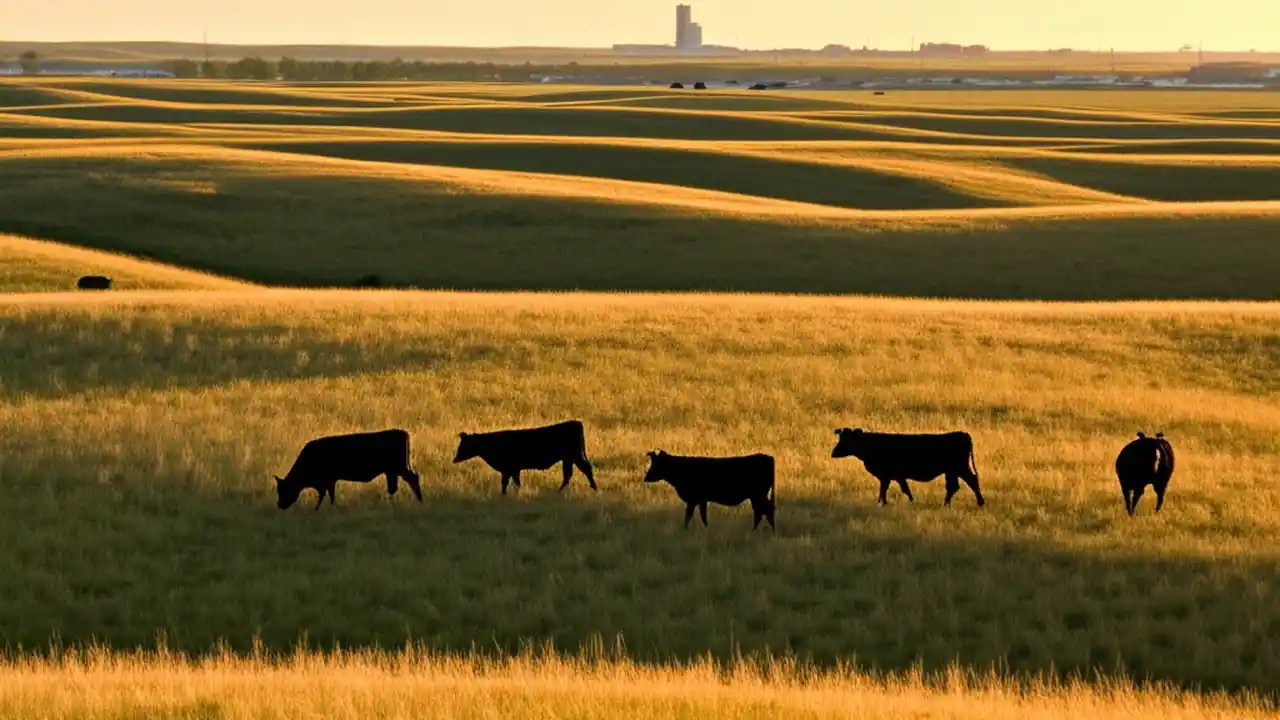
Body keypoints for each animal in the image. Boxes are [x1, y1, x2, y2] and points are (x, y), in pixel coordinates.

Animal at [274, 429, 421, 510]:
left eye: (284, 490)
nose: (280, 505)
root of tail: (402, 432)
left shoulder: (327, 481)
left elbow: (326, 495)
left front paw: (317, 509)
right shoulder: (329, 481)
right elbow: (329, 495)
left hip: (399, 468)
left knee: (412, 479)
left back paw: (420, 501)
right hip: (392, 471)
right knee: (393, 487)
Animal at [453, 420, 597, 495]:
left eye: (464, 445)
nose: (454, 459)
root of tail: (576, 422)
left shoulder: (508, 469)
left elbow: (506, 483)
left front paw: (504, 495)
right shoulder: (514, 470)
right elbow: (516, 482)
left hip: (575, 456)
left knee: (585, 469)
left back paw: (593, 488)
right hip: (568, 459)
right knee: (568, 475)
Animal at [643, 451, 776, 530]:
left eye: (658, 464)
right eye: (652, 462)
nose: (646, 478)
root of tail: (768, 457)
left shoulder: (693, 499)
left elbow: (689, 515)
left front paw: (684, 529)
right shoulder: (702, 500)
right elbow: (703, 516)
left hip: (758, 495)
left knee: (764, 511)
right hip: (757, 496)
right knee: (762, 511)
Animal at [831, 428, 985, 507]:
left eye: (846, 440)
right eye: (840, 438)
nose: (833, 453)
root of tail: (963, 434)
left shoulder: (886, 475)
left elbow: (885, 489)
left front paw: (882, 503)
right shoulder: (896, 476)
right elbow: (903, 488)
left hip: (960, 468)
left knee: (971, 481)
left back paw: (980, 502)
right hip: (952, 471)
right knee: (953, 487)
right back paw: (945, 504)